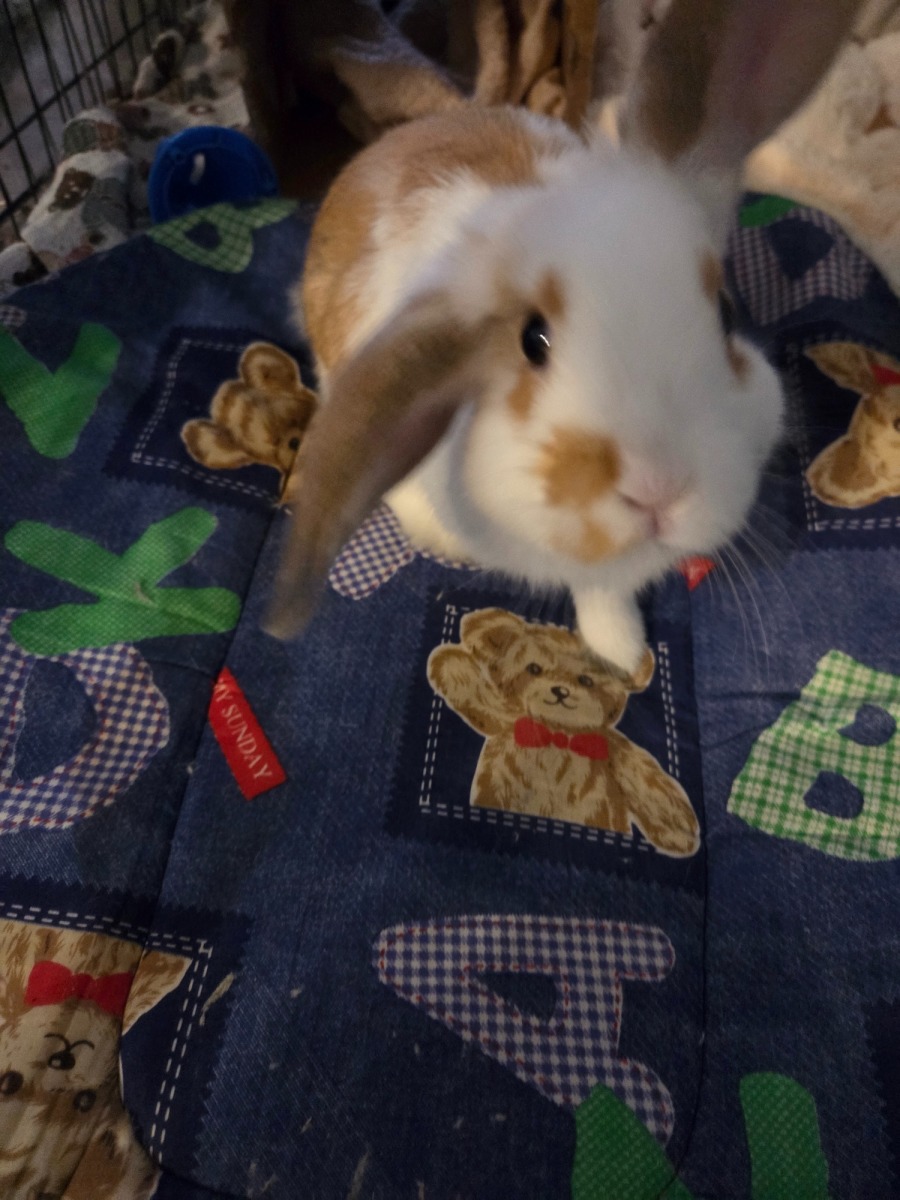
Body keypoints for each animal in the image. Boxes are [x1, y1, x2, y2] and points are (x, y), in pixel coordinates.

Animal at [265, 0, 863, 674]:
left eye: (727, 314)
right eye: (534, 341)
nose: (659, 489)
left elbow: (602, 592)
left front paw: (622, 652)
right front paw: (625, 653)